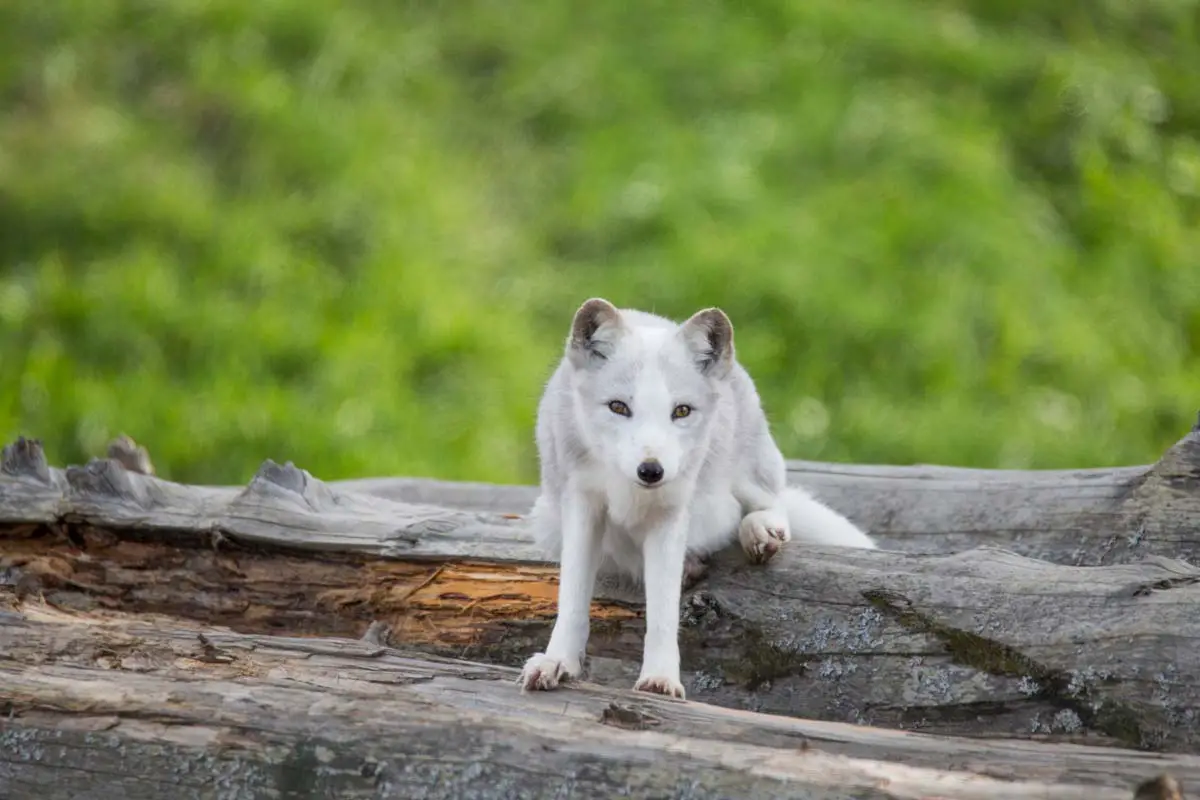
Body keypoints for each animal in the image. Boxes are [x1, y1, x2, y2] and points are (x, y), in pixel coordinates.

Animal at [518, 298, 877, 700]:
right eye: (618, 407)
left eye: (682, 411)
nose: (651, 470)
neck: (631, 493)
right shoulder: (582, 503)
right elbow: (573, 597)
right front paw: (558, 662)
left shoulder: (671, 514)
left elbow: (663, 611)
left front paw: (660, 679)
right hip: (548, 521)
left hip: (743, 477)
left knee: (769, 503)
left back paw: (760, 532)